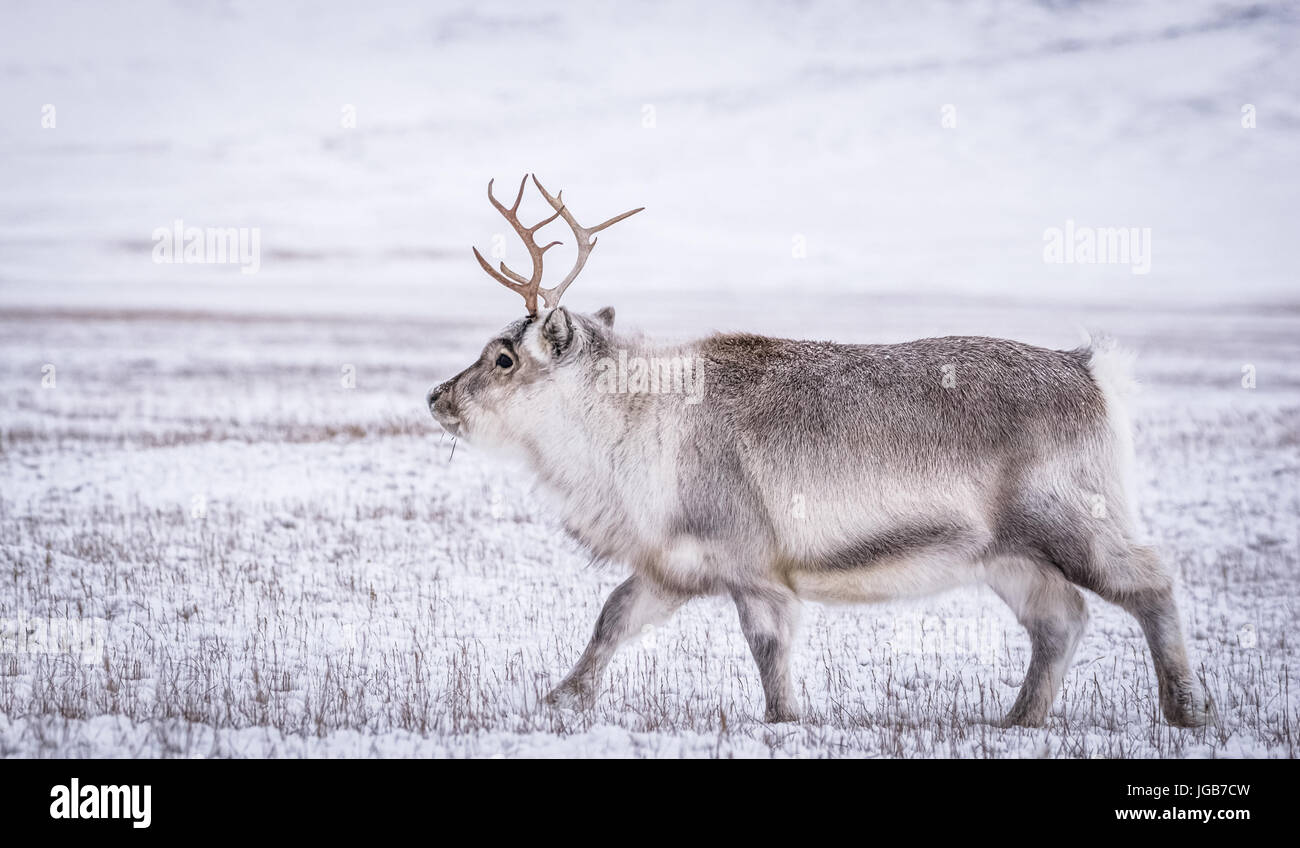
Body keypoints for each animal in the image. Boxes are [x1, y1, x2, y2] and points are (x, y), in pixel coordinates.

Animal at [425, 174, 1212, 728]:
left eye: (502, 358)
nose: (436, 397)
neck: (627, 431)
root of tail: (1095, 373)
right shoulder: (677, 562)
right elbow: (613, 617)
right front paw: (559, 698)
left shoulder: (751, 559)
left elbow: (767, 649)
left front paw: (786, 718)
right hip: (1008, 555)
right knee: (1061, 619)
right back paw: (1016, 720)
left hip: (1073, 517)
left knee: (1150, 581)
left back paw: (1186, 710)